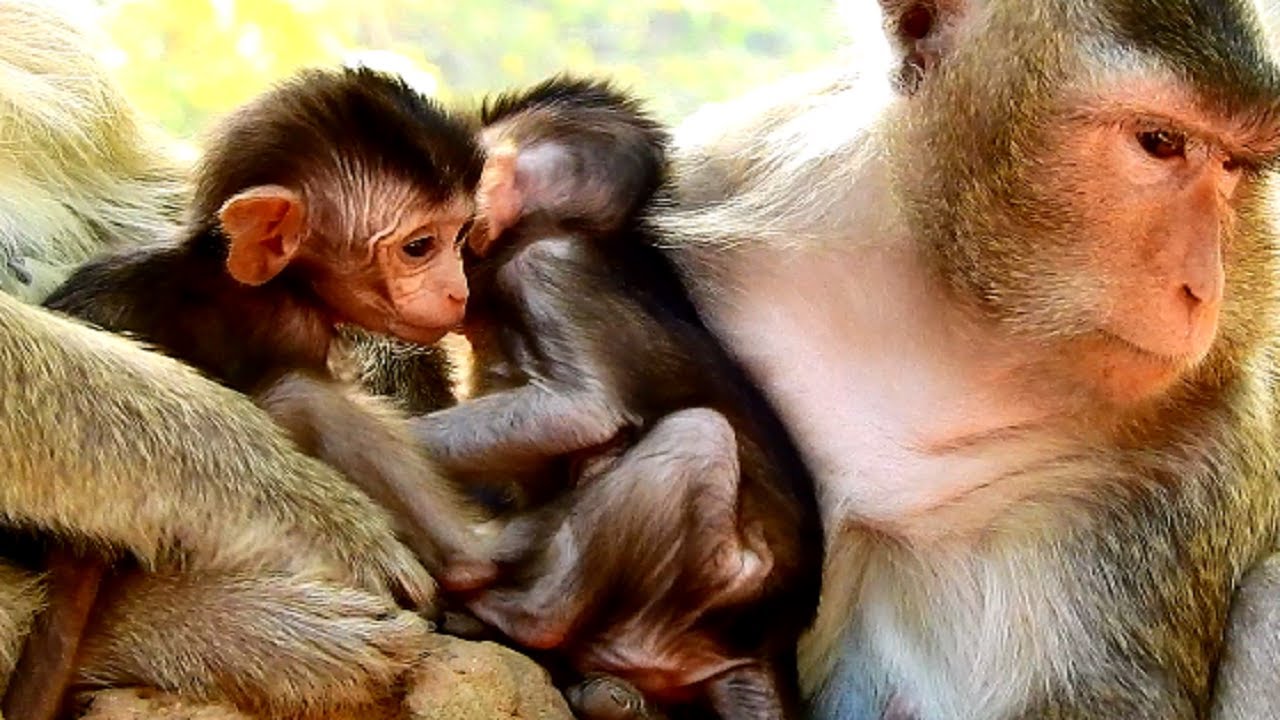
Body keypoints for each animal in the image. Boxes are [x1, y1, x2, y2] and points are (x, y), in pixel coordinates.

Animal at [41, 66, 495, 592]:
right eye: (419, 247)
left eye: (459, 236)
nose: (458, 291)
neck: (278, 286)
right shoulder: (295, 327)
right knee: (300, 397)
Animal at [409, 76, 825, 720]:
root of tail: (762, 649)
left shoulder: (544, 269)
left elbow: (579, 410)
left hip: (701, 596)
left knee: (696, 436)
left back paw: (525, 617)